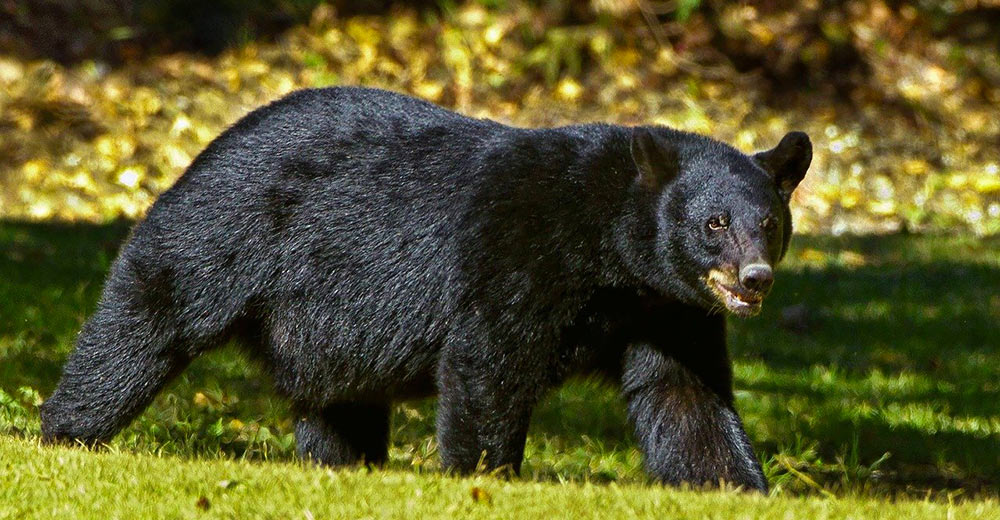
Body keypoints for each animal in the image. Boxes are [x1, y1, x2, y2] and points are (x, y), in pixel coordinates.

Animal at [40, 86, 811, 492]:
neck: (610, 252)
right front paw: (485, 478)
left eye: (769, 224)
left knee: (337, 402)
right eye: (714, 223)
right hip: (223, 231)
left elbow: (685, 396)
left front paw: (736, 485)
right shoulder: (517, 252)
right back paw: (66, 432)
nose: (755, 278)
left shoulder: (666, 308)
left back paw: (343, 467)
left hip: (324, 327)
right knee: (146, 320)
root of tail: (212, 141)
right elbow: (488, 364)